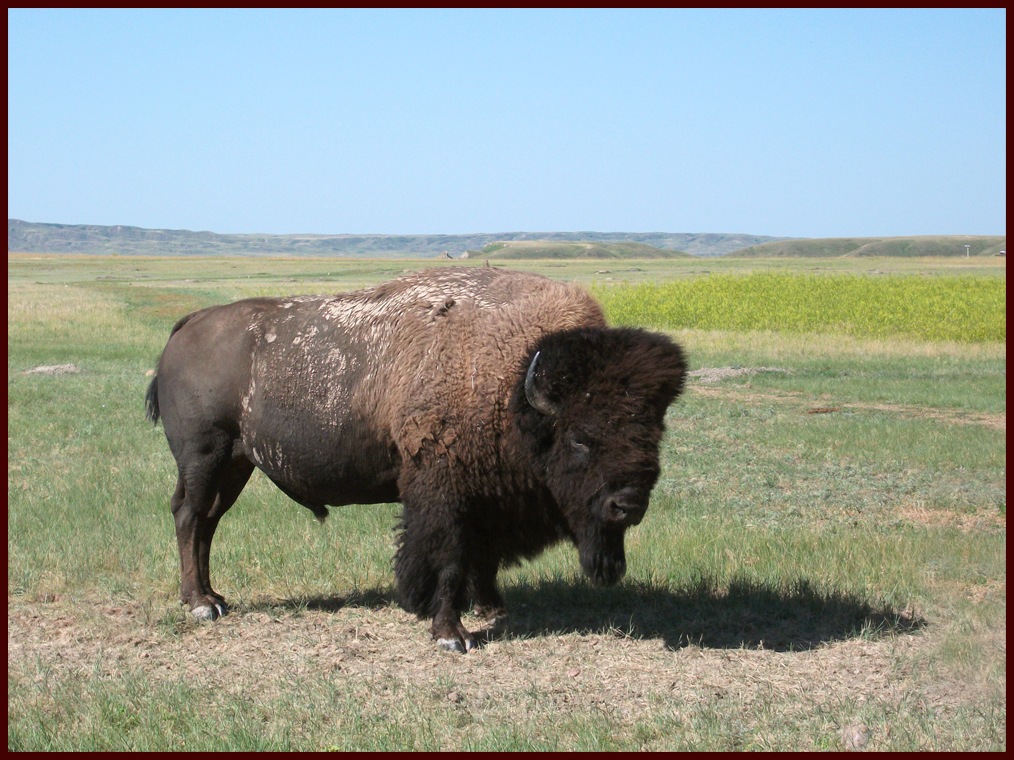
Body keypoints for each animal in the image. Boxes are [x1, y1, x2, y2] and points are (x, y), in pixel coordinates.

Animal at [145, 266, 686, 652]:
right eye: (579, 439)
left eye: (653, 431)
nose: (628, 504)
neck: (513, 380)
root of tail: (189, 325)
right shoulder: (443, 493)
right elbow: (447, 558)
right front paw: (451, 635)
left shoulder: (484, 497)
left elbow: (483, 558)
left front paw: (491, 608)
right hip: (205, 455)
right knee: (189, 516)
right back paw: (200, 605)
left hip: (236, 464)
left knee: (208, 520)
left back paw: (213, 598)